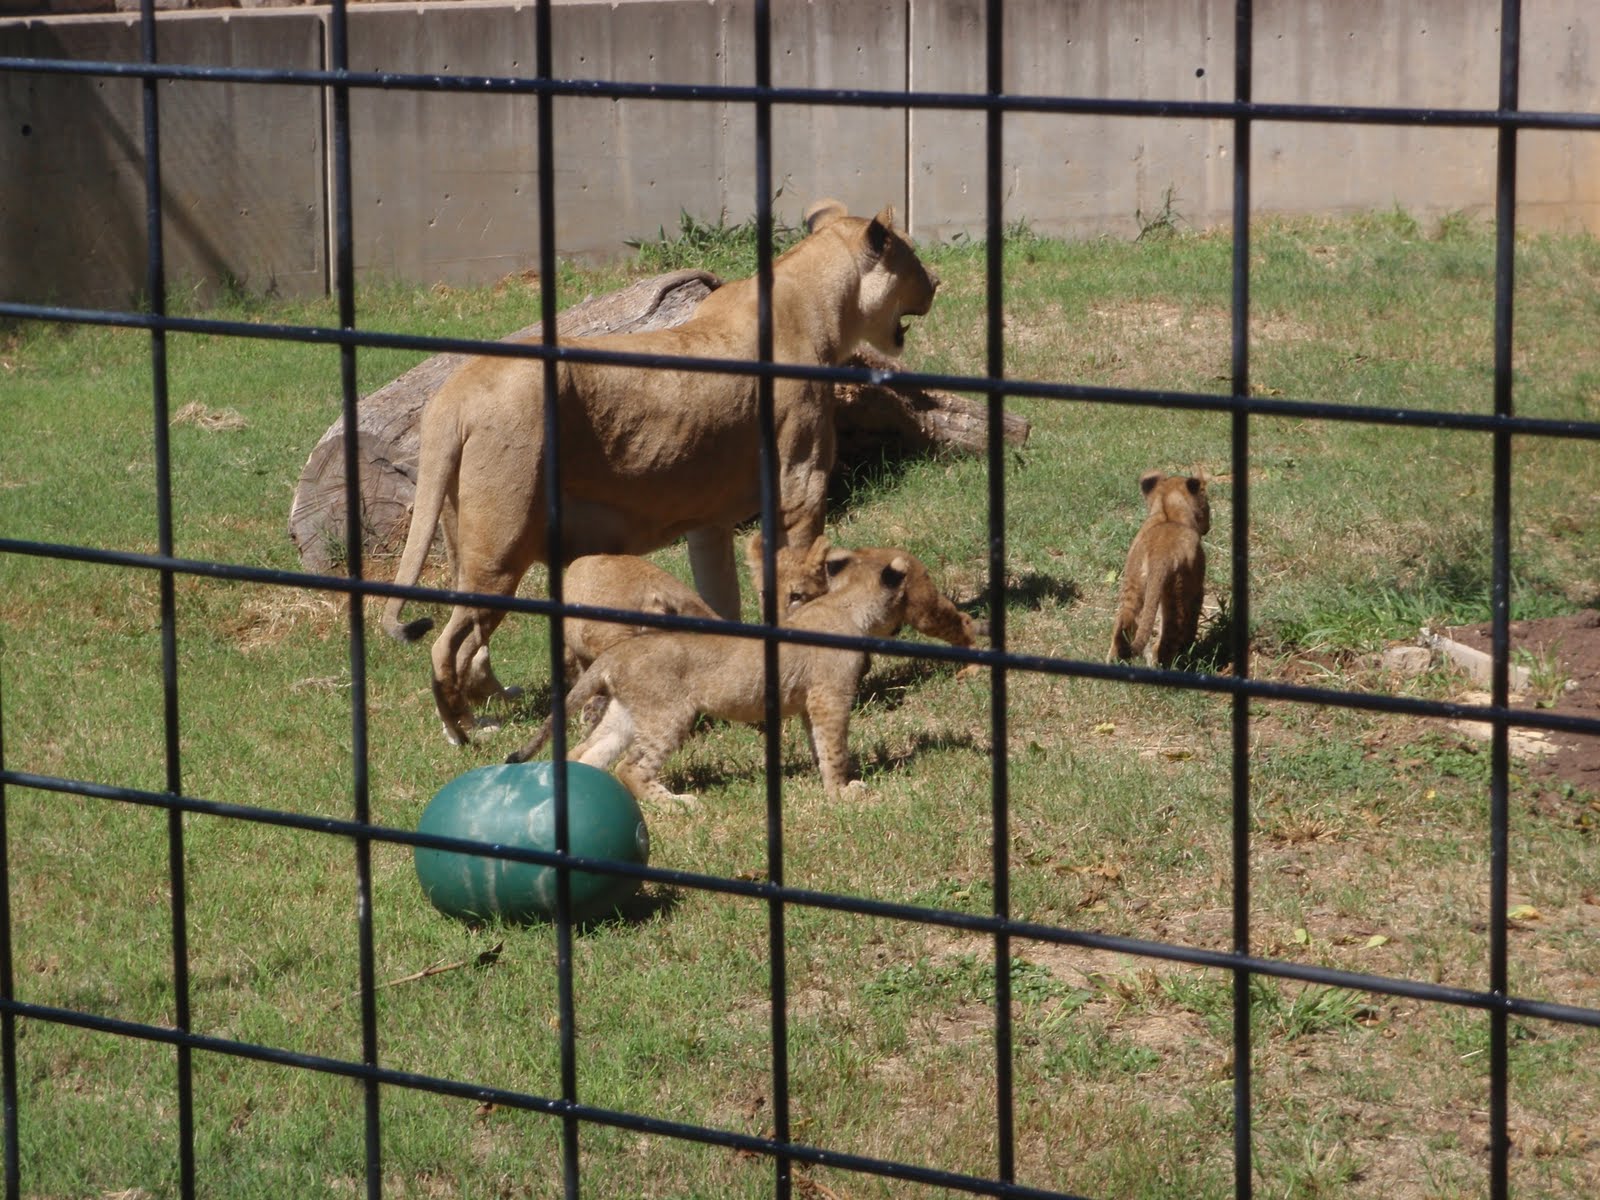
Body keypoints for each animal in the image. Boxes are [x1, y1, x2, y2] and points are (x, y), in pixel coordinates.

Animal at [381, 201, 939, 745]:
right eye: (913, 258)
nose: (936, 283)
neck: (817, 303)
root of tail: (453, 395)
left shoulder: (709, 523)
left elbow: (722, 597)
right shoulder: (799, 485)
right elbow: (796, 580)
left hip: (465, 540)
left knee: (473, 649)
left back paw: (488, 709)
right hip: (500, 550)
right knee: (447, 646)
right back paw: (466, 733)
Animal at [1110, 471, 1211, 667]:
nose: (1208, 528)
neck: (1168, 512)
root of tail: (1159, 554)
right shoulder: (1197, 588)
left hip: (1133, 584)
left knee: (1122, 624)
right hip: (1177, 594)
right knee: (1165, 643)